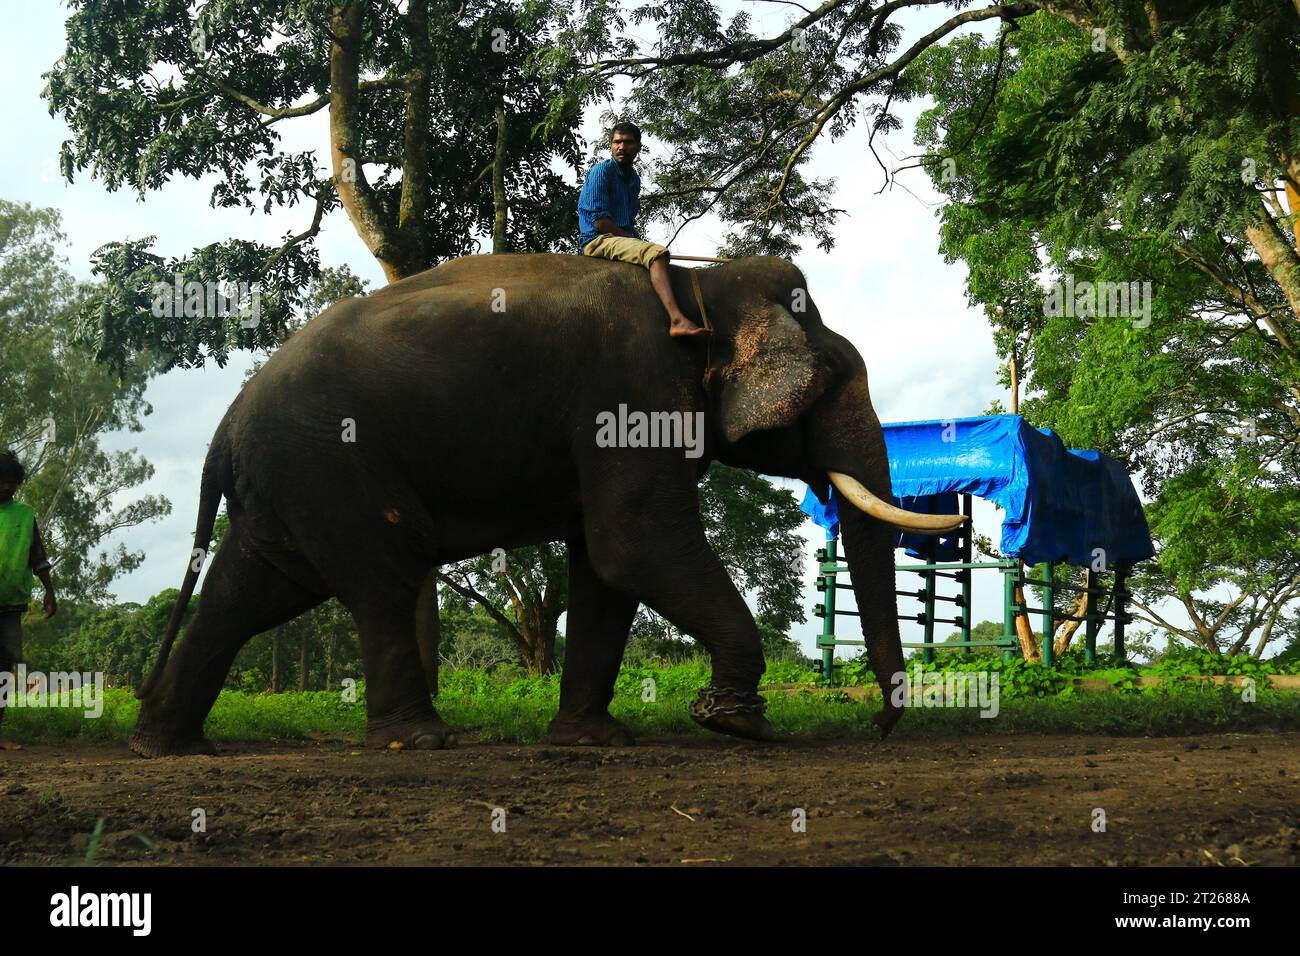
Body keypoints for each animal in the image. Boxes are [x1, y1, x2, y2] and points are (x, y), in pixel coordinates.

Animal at [129, 253, 964, 757]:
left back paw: (165, 745)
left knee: (252, 591)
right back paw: (421, 742)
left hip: (288, 483)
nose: (879, 725)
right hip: (328, 461)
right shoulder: (632, 392)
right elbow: (634, 544)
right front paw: (738, 724)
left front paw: (592, 739)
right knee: (381, 578)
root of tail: (225, 424)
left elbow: (605, 567)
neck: (703, 285)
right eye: (830, 382)